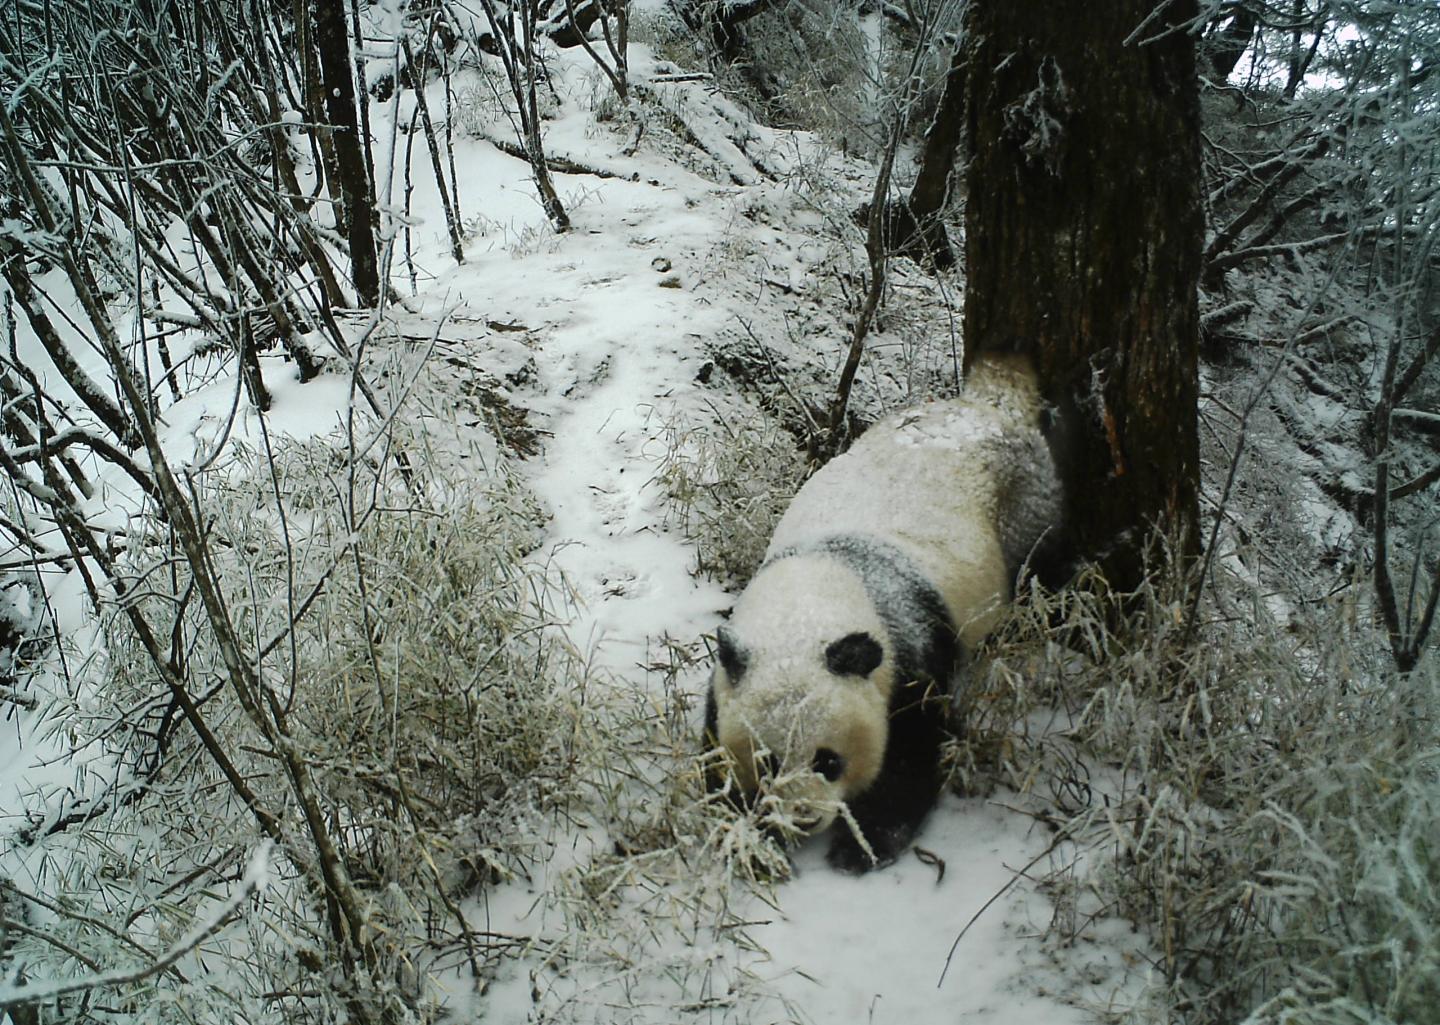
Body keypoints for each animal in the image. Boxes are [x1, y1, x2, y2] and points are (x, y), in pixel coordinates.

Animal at [703, 354, 1065, 872]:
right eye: (768, 760)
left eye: (827, 760)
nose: (804, 817)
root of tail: (991, 401)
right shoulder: (732, 666)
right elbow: (715, 759)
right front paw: (755, 837)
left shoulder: (908, 644)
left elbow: (913, 749)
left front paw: (861, 846)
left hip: (1027, 508)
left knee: (1042, 574)